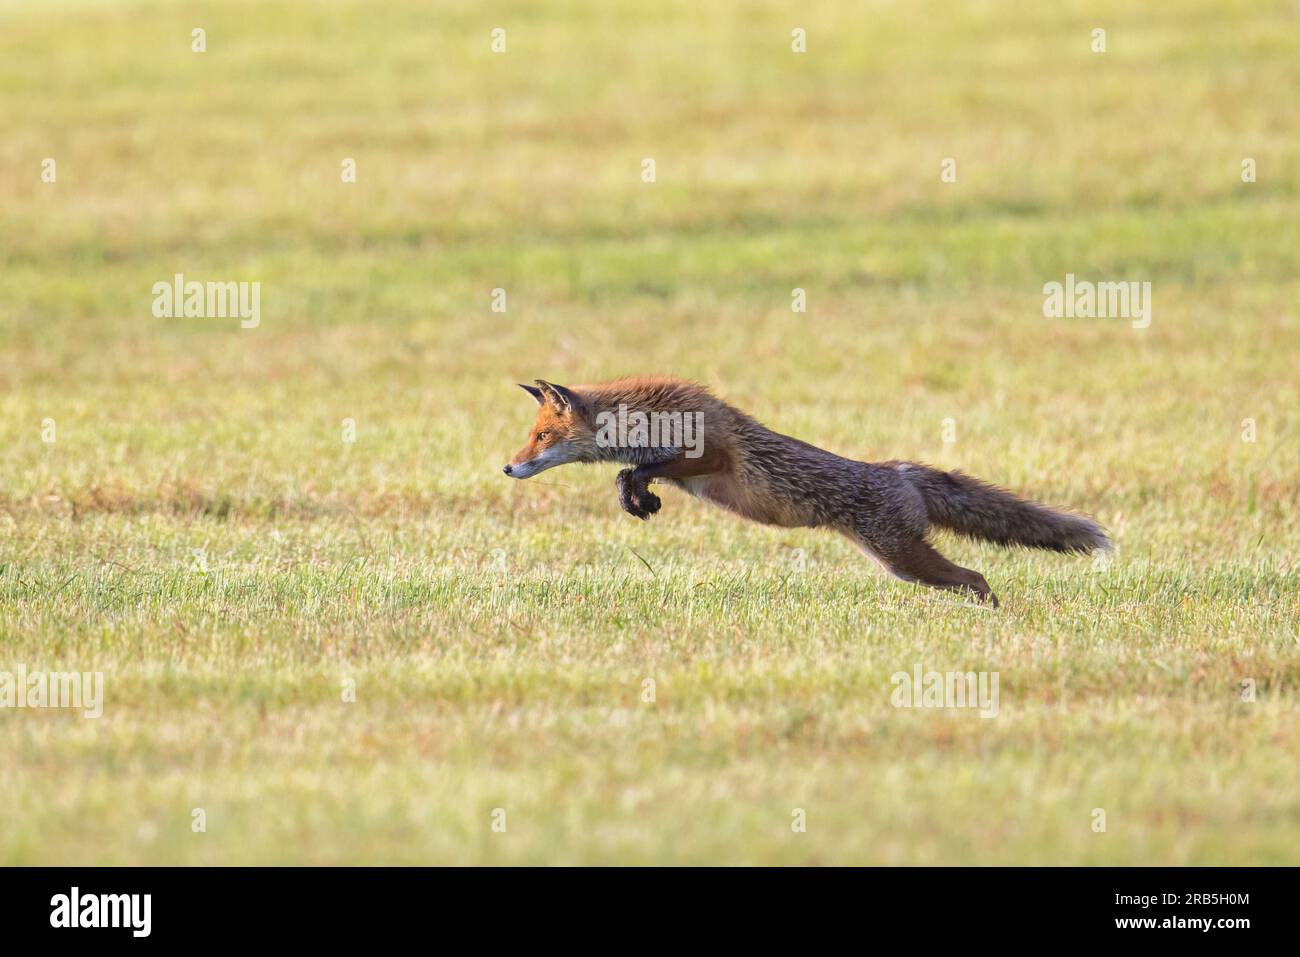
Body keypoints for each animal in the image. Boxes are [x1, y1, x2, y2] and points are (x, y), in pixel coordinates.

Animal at [503, 376, 1110, 607]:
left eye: (541, 437)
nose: (508, 467)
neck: (643, 417)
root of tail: (896, 470)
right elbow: (633, 473)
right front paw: (638, 498)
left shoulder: (710, 452)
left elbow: (637, 468)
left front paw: (637, 493)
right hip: (900, 560)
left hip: (903, 559)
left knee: (977, 577)